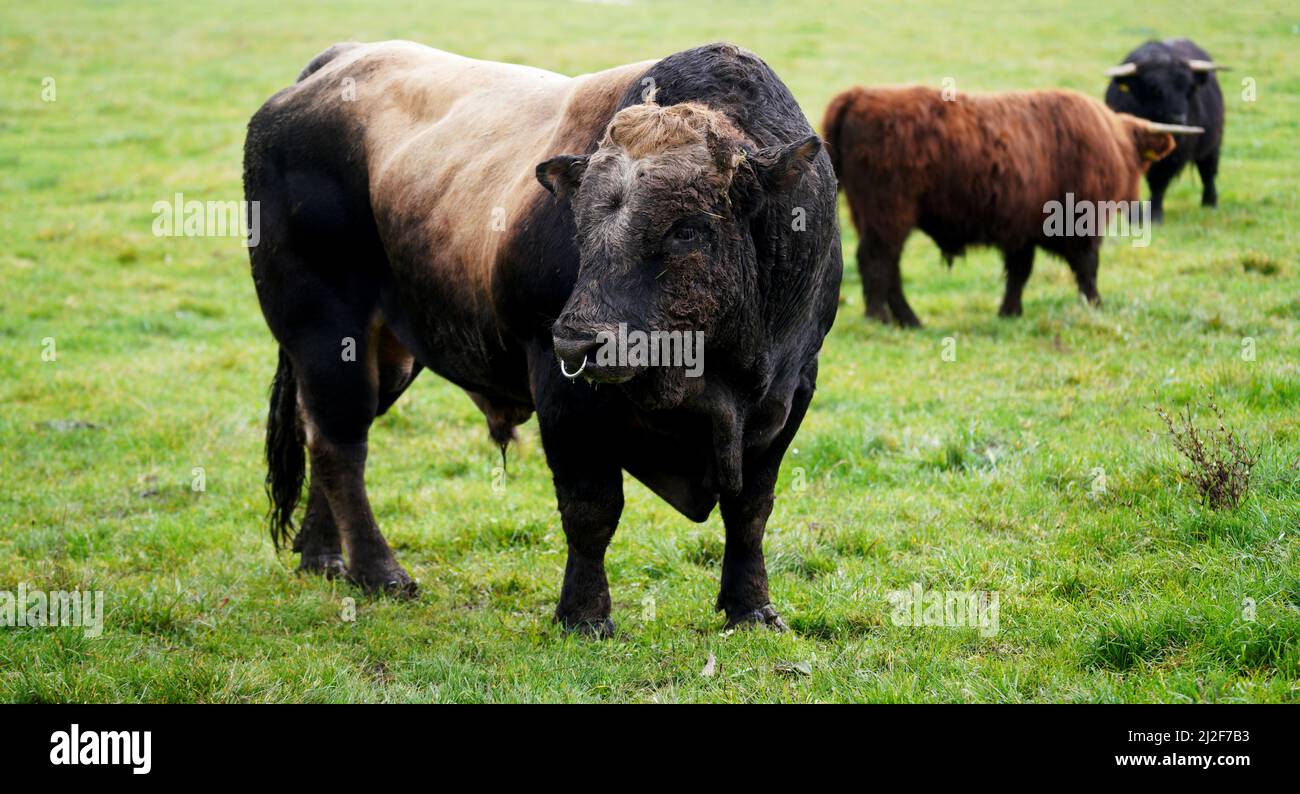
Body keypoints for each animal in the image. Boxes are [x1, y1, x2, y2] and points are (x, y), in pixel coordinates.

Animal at [243, 42, 842, 635]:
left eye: (687, 228)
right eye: (578, 224)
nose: (583, 343)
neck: (720, 377)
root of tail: (333, 67)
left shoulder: (792, 390)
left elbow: (750, 511)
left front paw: (751, 608)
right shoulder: (563, 389)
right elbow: (591, 509)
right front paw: (585, 615)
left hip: (383, 354)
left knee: (317, 432)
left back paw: (322, 556)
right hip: (325, 335)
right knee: (339, 446)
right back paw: (378, 571)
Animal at [823, 86, 1200, 326]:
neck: (1115, 140)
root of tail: (859, 95)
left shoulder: (1023, 232)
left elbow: (1020, 273)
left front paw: (1009, 311)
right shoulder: (1081, 225)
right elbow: (1087, 268)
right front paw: (1095, 305)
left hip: (878, 217)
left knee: (888, 267)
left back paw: (906, 319)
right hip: (888, 215)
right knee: (877, 262)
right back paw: (885, 317)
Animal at [1104, 38, 1227, 222]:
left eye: (1188, 89)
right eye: (1154, 89)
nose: (1178, 119)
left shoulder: (1172, 156)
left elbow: (1159, 181)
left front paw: (1154, 215)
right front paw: (1133, 216)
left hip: (1212, 144)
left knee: (1208, 172)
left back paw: (1209, 203)